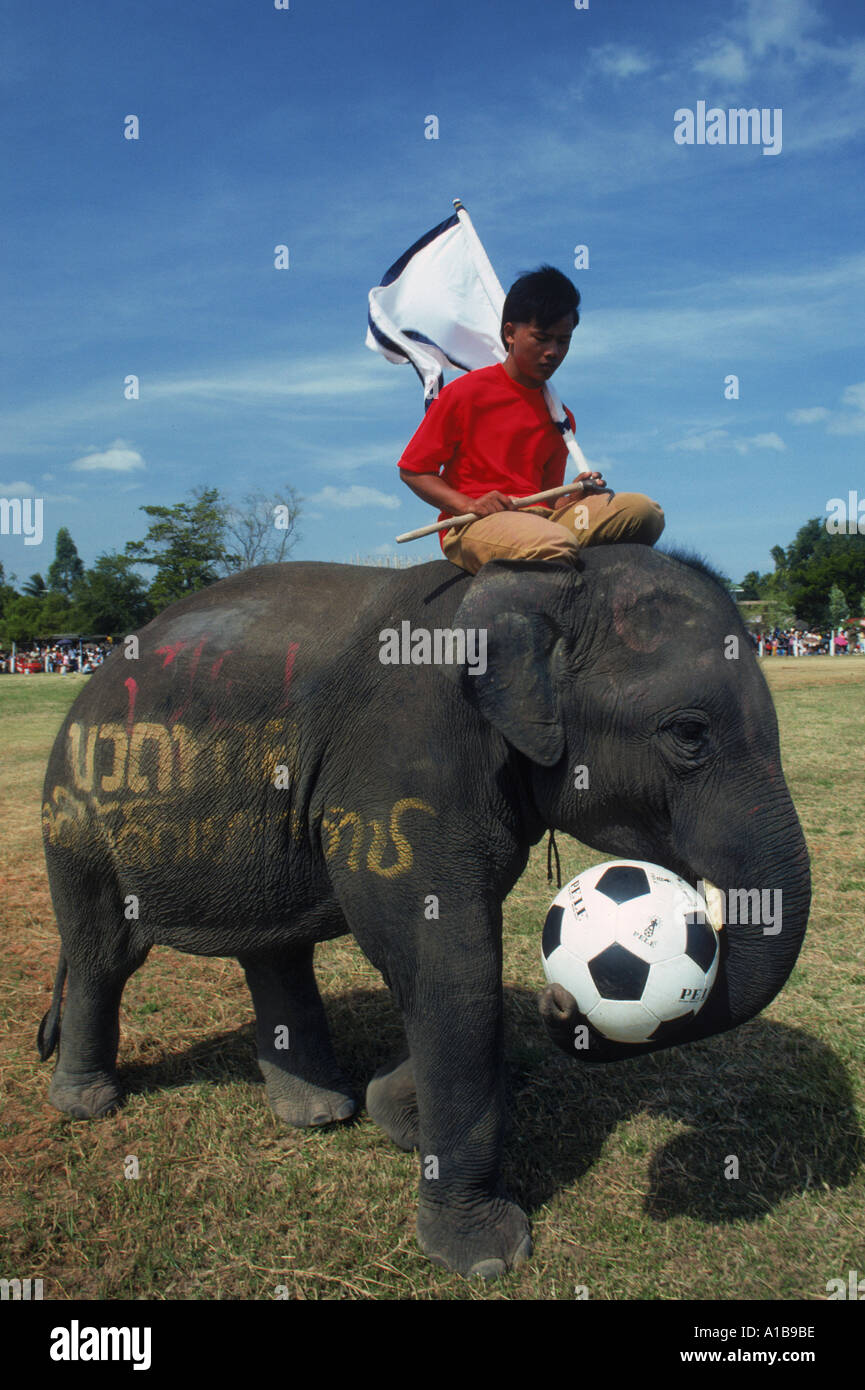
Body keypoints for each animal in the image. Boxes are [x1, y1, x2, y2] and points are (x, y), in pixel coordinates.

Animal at [38, 548, 810, 1279]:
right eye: (688, 733)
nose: (561, 1003)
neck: (536, 575)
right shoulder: (398, 778)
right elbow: (449, 964)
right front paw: (484, 1255)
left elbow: (452, 963)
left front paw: (397, 1114)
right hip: (73, 815)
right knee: (105, 954)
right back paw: (88, 1105)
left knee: (274, 949)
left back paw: (320, 1114)